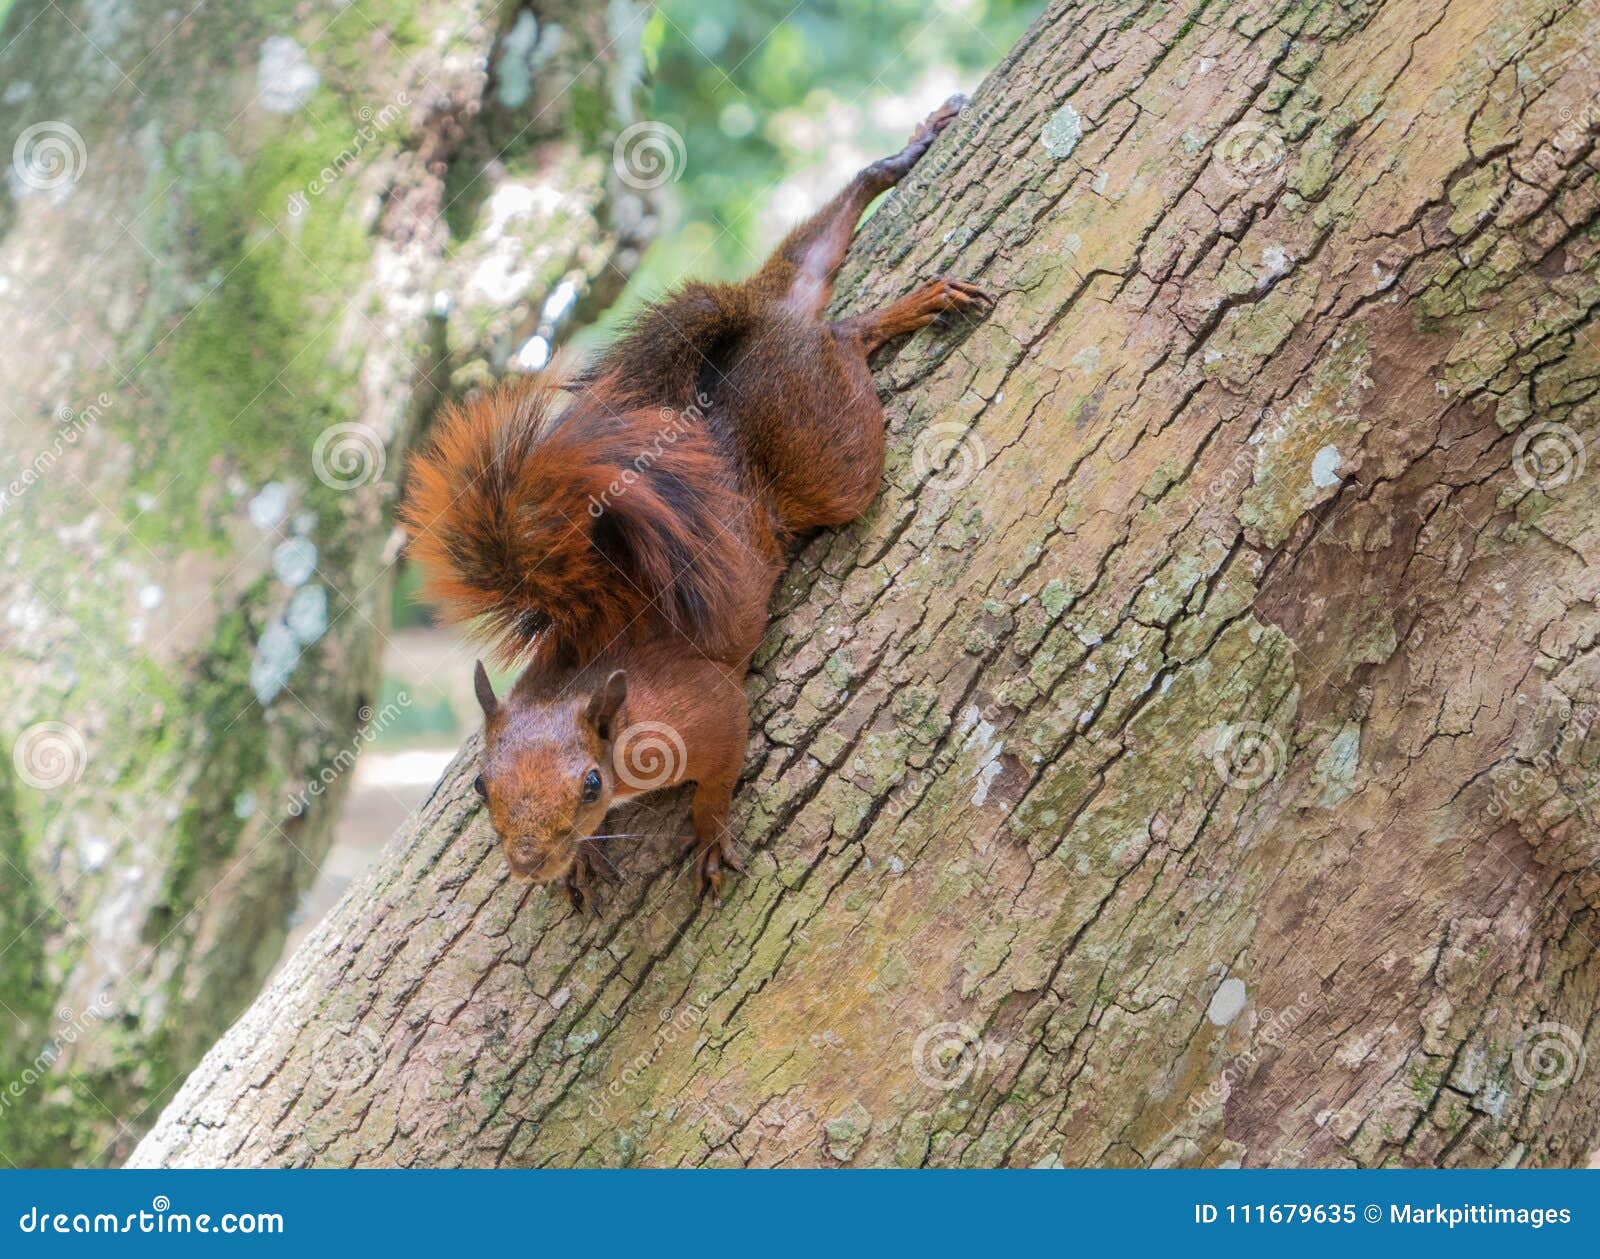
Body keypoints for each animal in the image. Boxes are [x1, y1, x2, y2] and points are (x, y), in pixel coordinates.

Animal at [399, 96, 992, 910]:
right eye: (482, 786)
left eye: (591, 784)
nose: (530, 862)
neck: (592, 696)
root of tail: (763, 333)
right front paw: (583, 864)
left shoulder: (703, 713)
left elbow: (720, 770)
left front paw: (707, 835)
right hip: (789, 316)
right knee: (809, 257)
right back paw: (901, 160)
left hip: (827, 451)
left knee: (842, 343)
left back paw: (895, 312)